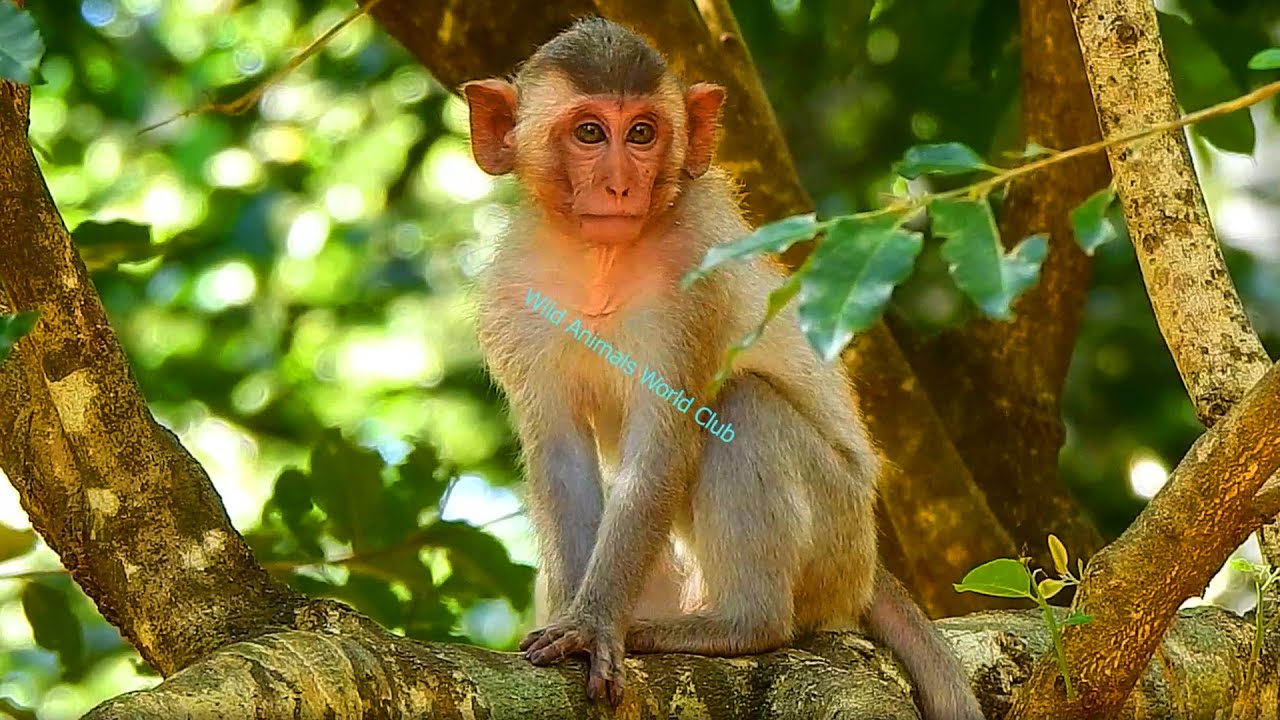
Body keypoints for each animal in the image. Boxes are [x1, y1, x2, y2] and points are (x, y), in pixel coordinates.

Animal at [463, 17, 984, 719]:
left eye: (643, 132)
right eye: (590, 132)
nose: (620, 186)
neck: (599, 258)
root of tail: (870, 568)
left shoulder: (693, 283)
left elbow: (666, 444)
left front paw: (594, 624)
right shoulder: (514, 299)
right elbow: (561, 455)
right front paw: (574, 618)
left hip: (836, 532)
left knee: (743, 404)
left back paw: (742, 625)